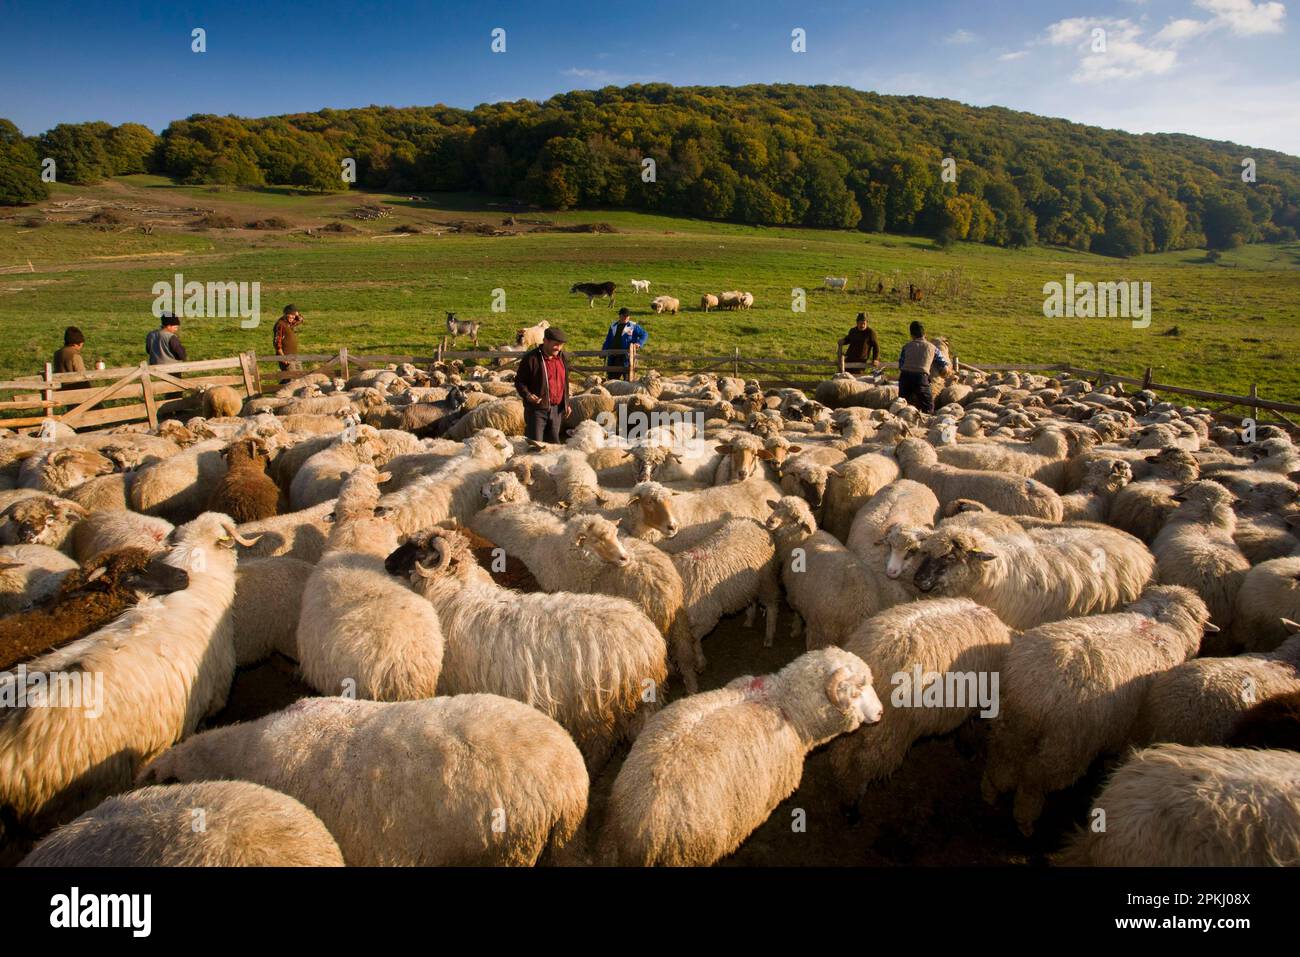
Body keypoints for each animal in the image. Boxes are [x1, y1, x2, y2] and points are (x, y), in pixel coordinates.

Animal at [386, 527, 667, 767]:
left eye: (418, 550)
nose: (387, 563)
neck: (454, 591)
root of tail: (648, 639)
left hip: (595, 710)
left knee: (601, 746)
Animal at [765, 495, 885, 649]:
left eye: (795, 518)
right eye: (777, 506)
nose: (770, 521)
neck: (802, 541)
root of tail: (860, 611)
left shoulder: (795, 595)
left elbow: (797, 614)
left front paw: (795, 629)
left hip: (823, 630)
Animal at [828, 598, 1012, 802]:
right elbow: (965, 725)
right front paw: (967, 748)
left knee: (841, 754)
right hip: (890, 729)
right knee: (864, 764)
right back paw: (852, 802)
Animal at [982, 586, 1213, 835]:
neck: (1158, 620)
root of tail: (1030, 691)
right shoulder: (1130, 727)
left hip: (1008, 730)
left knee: (999, 766)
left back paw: (991, 796)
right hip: (1063, 748)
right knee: (1032, 784)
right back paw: (1026, 822)